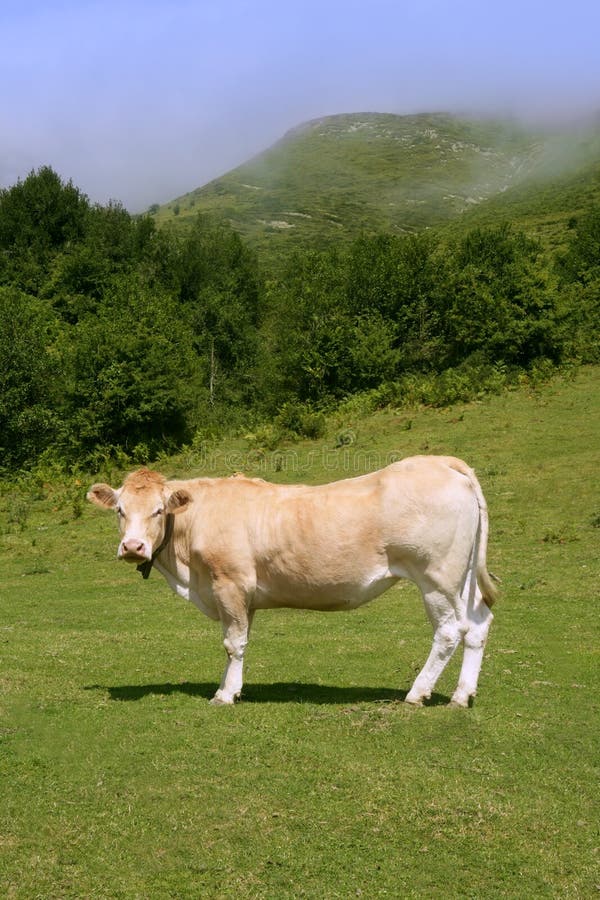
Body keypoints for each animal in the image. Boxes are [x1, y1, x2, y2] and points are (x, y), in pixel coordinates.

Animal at [87, 456, 497, 707]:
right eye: (120, 510)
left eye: (158, 511)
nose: (133, 547)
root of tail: (441, 461)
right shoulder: (243, 595)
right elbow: (240, 641)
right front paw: (234, 687)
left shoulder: (229, 583)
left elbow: (232, 643)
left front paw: (224, 694)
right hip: (461, 578)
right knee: (478, 622)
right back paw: (462, 695)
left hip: (436, 576)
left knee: (449, 630)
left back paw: (418, 692)